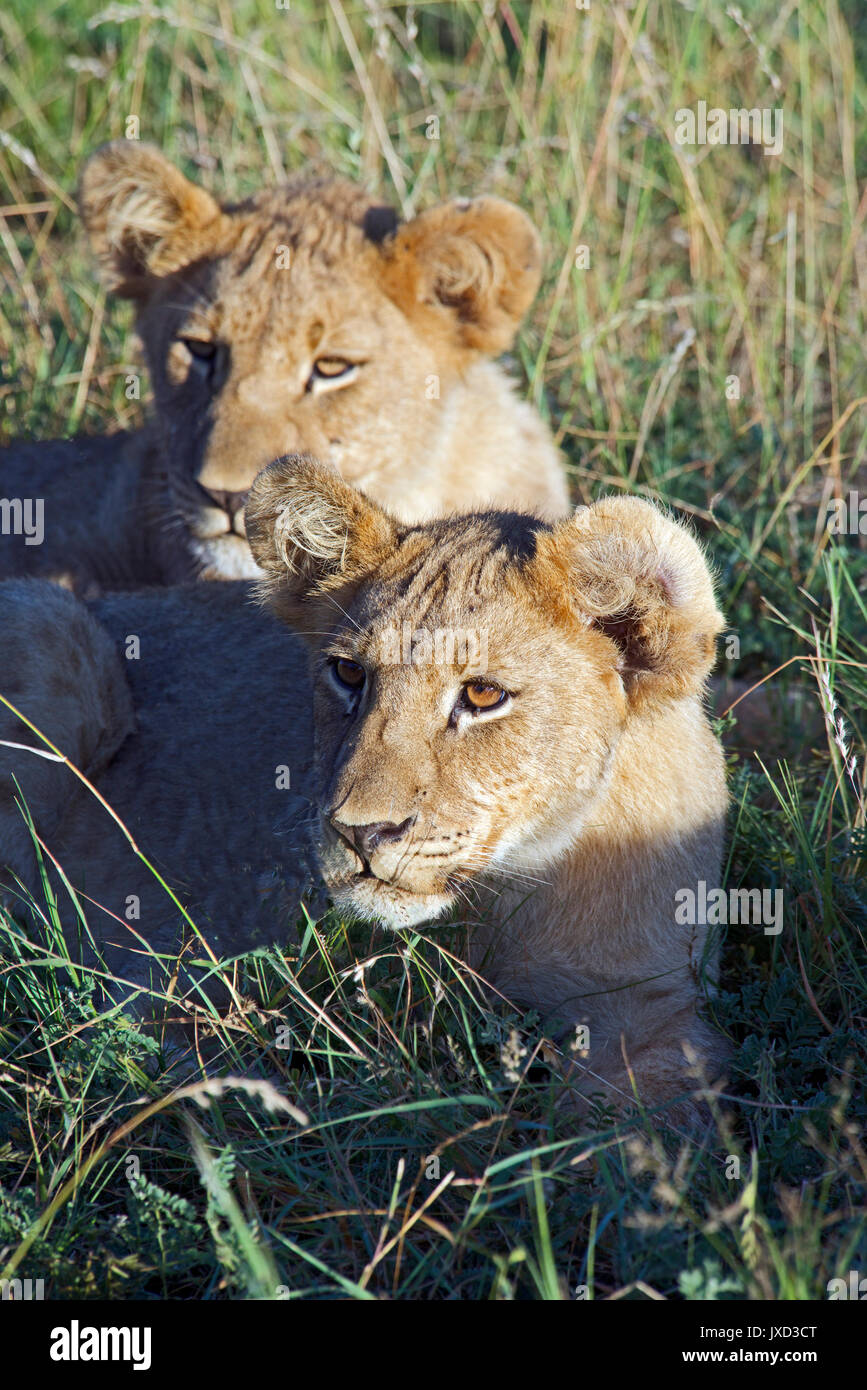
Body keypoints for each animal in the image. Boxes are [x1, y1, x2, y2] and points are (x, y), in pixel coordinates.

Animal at [0, 455, 727, 1117]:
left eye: (483, 695)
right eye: (349, 674)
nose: (359, 833)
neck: (512, 889)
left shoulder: (647, 996)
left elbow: (648, 1109)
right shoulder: (182, 954)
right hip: (51, 619)